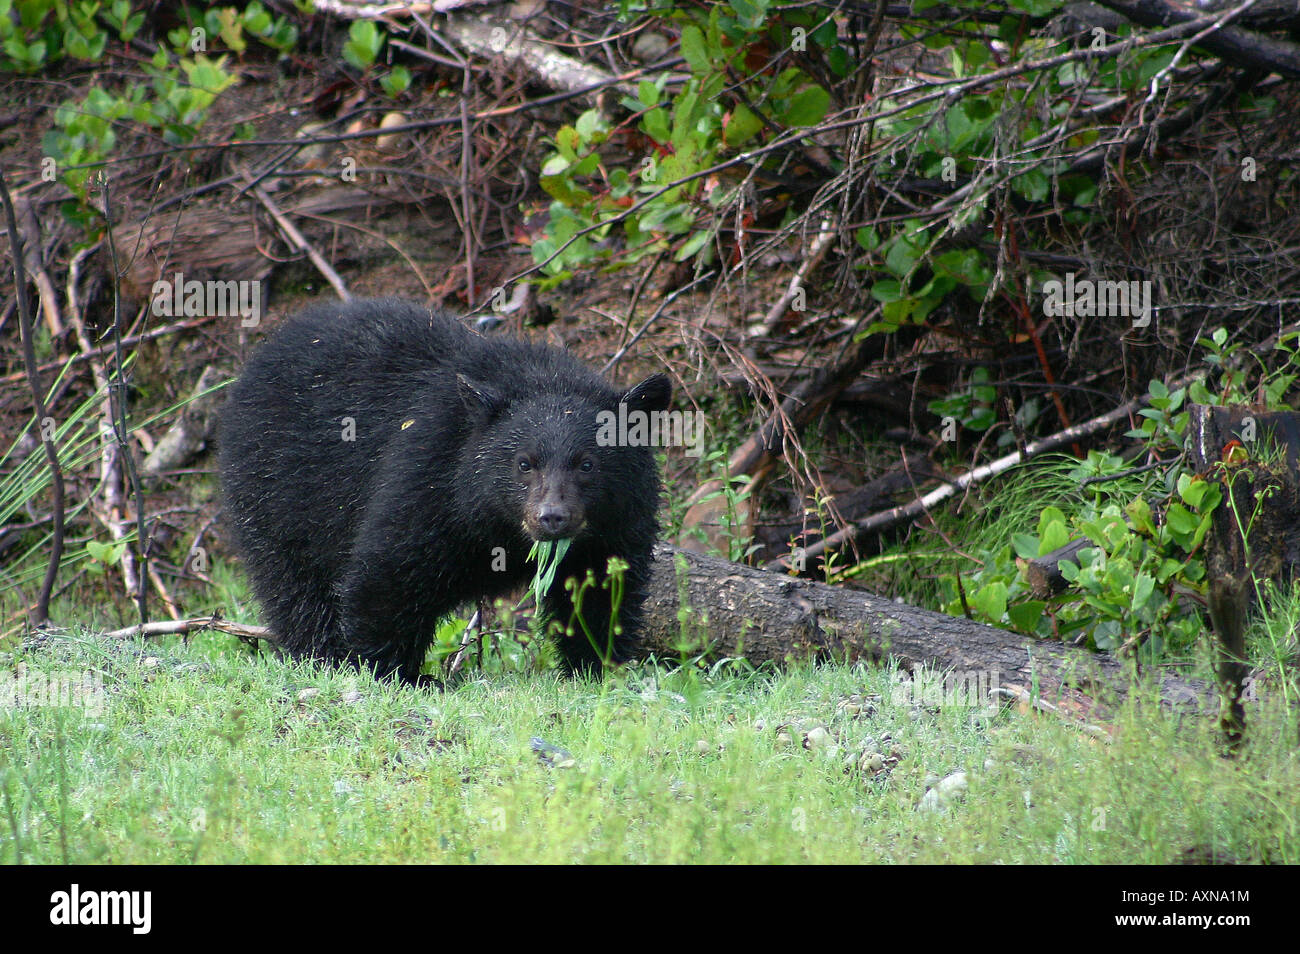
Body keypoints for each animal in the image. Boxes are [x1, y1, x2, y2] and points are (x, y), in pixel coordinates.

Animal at [216, 298, 671, 683]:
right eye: (523, 463)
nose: (552, 518)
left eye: (587, 464)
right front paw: (389, 671)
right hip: (276, 488)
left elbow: (602, 592)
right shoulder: (430, 474)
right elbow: (389, 573)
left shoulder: (616, 524)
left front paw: (595, 667)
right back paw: (319, 653)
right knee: (294, 582)